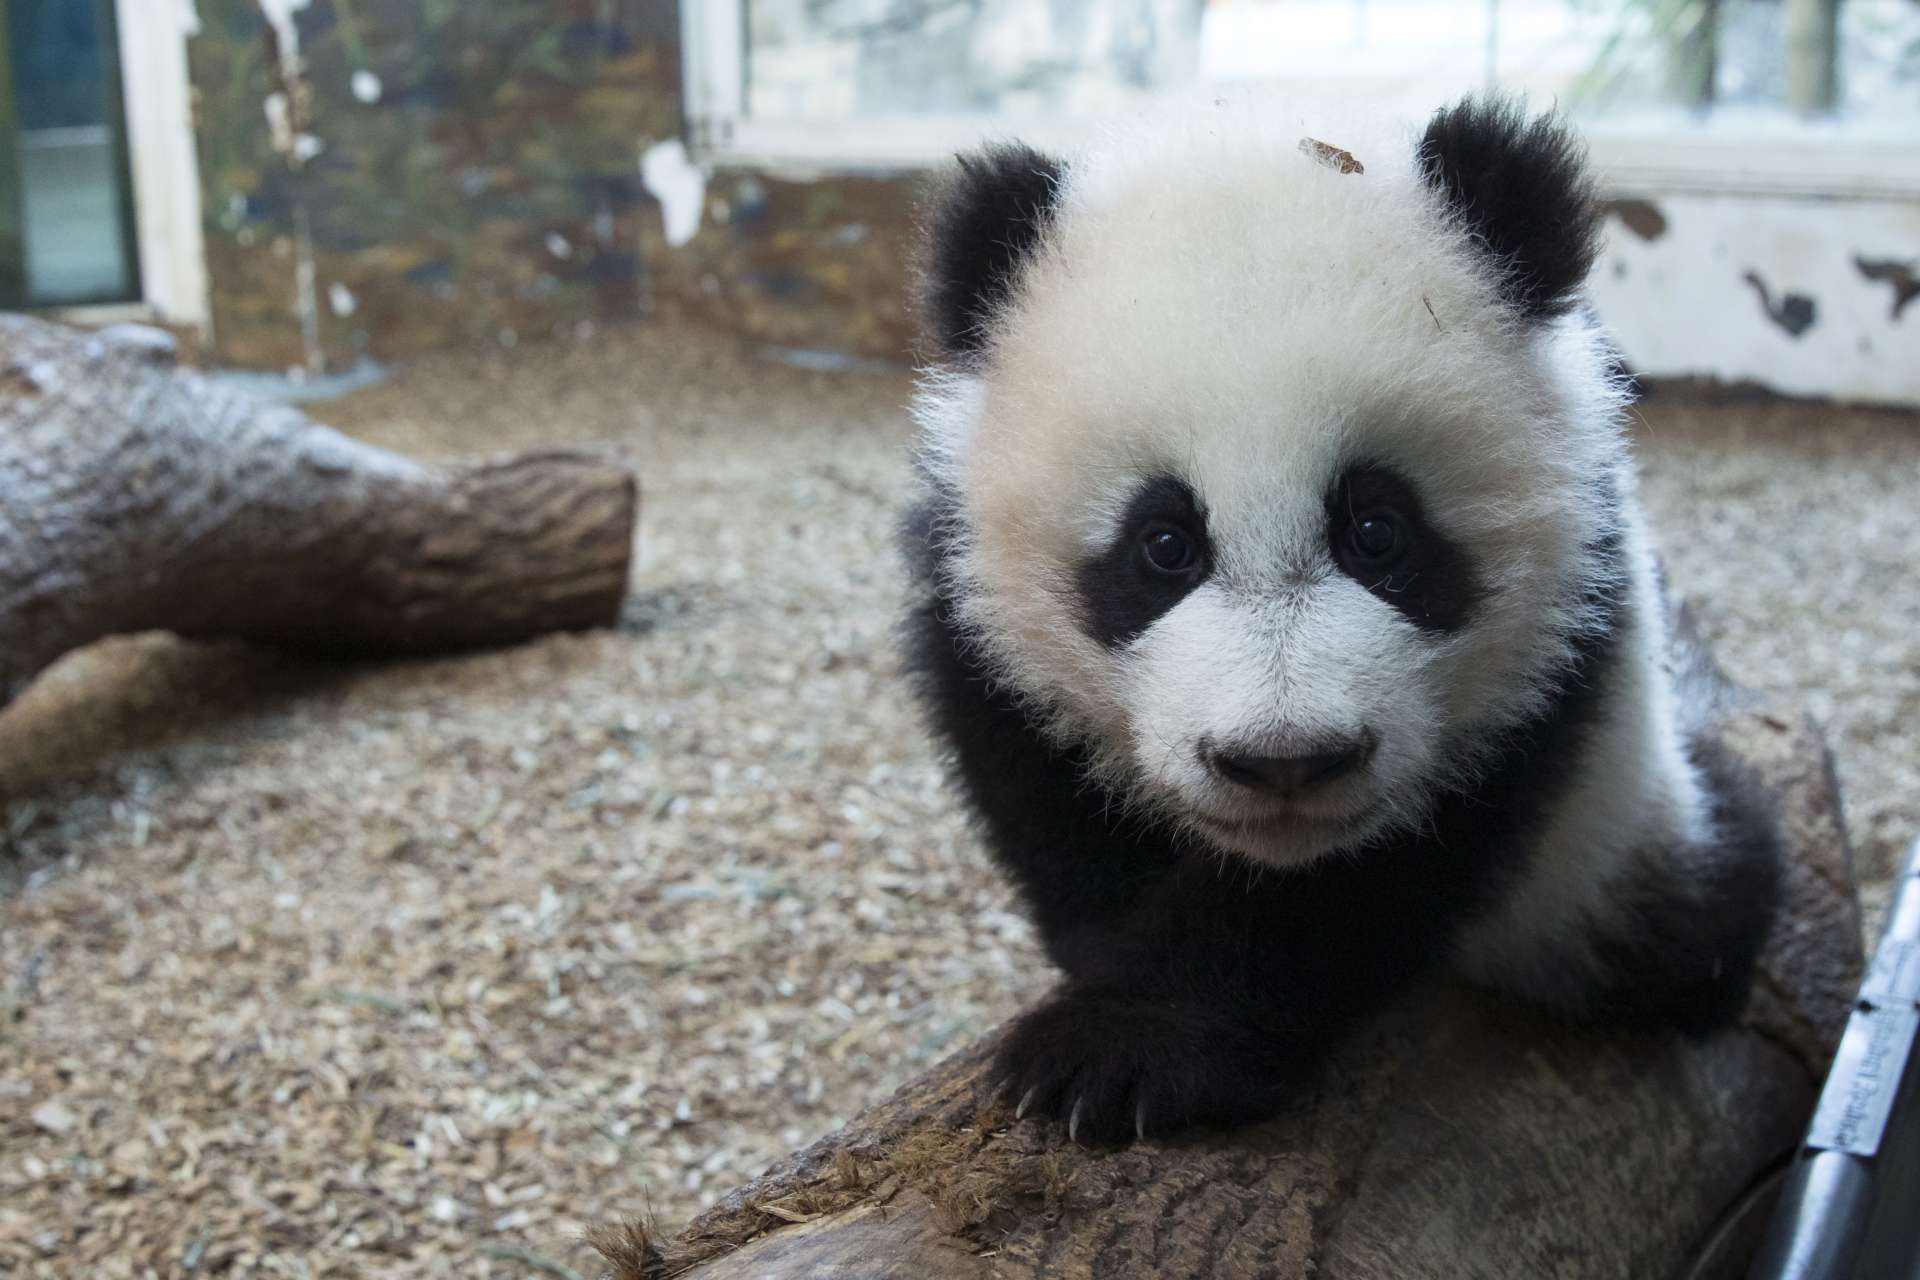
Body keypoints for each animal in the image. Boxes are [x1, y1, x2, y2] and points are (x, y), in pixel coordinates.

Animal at [900, 95, 1781, 1145]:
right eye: (1165, 544)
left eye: (1377, 531)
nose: (1285, 762)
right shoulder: (974, 596)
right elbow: (1041, 781)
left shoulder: (1562, 641)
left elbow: (1374, 876)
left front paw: (1123, 1051)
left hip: (1616, 835)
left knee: (1692, 921)